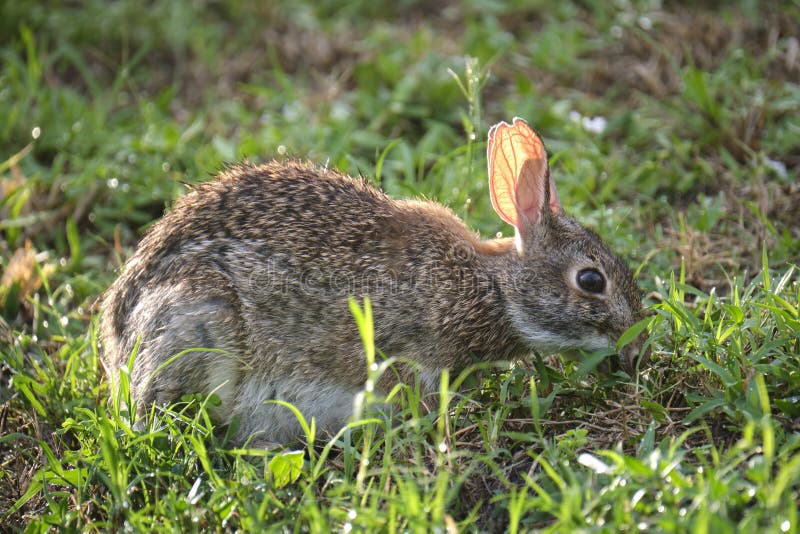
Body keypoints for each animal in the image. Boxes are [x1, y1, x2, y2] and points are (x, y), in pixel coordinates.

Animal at [99, 117, 645, 445]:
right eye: (591, 280)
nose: (635, 347)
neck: (492, 287)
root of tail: (116, 350)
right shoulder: (405, 356)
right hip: (199, 325)